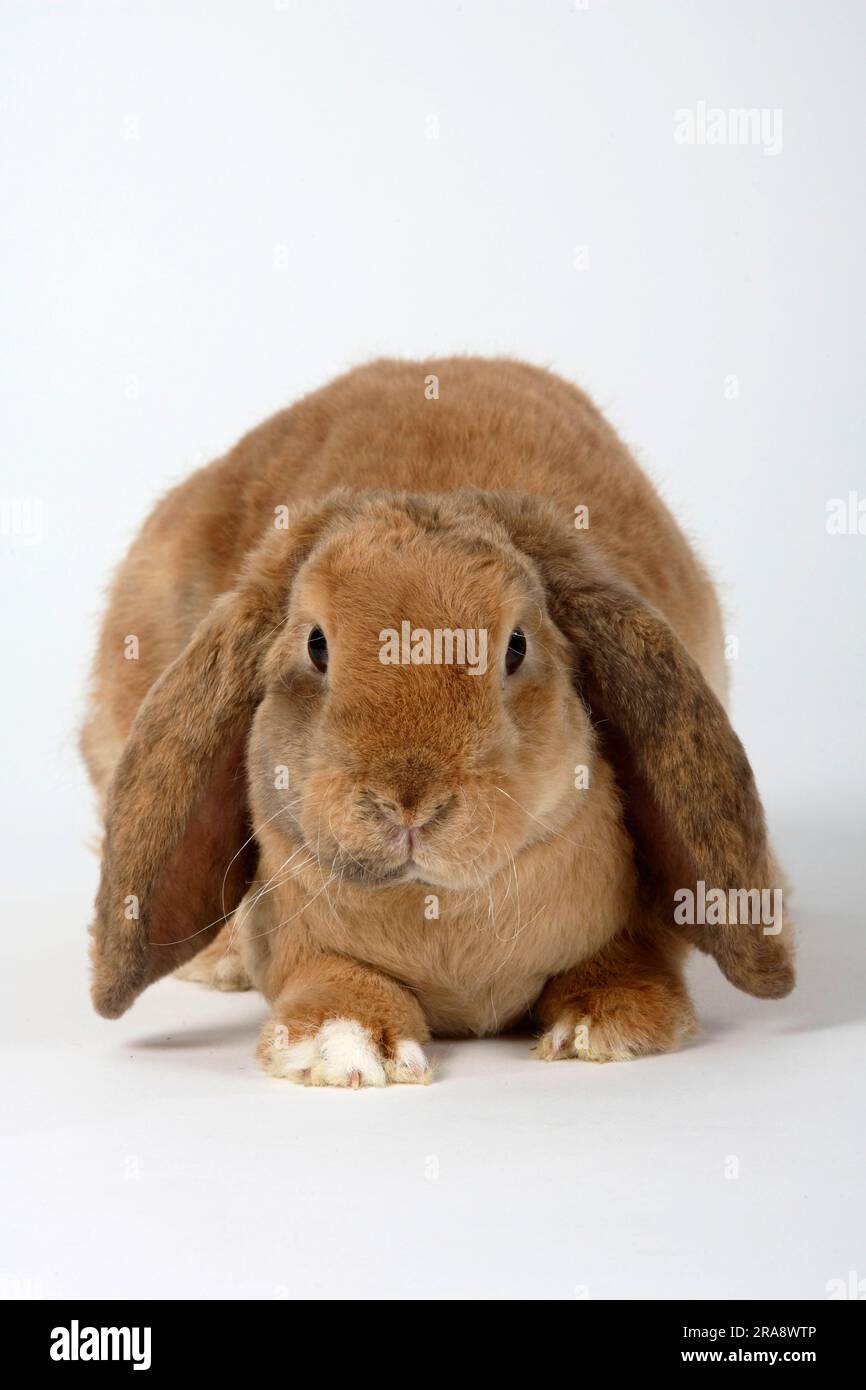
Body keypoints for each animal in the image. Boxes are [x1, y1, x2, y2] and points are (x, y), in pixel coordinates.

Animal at [82, 357, 794, 1087]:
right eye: (316, 645)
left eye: (516, 647)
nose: (408, 802)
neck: (437, 906)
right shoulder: (297, 943)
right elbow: (330, 978)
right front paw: (347, 1047)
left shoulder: (638, 920)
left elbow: (626, 957)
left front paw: (606, 1026)